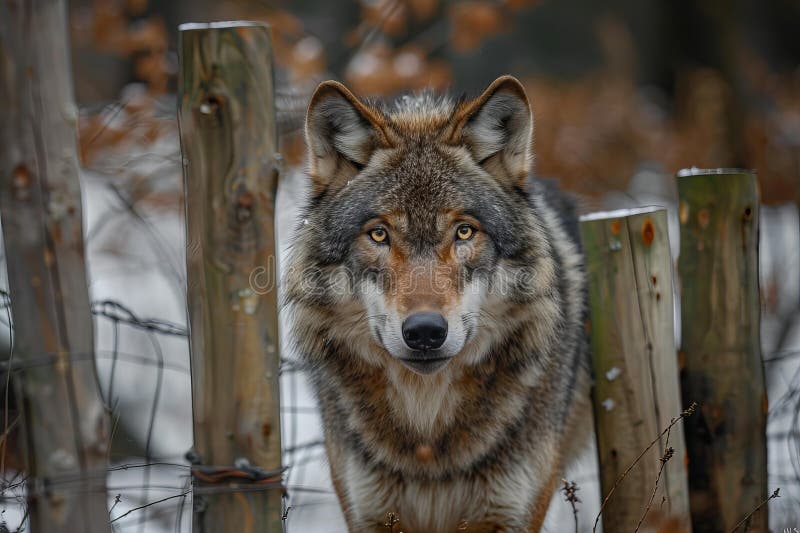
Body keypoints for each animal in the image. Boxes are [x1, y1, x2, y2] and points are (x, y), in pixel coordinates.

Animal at [284, 75, 591, 532]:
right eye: (378, 234)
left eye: (464, 231)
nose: (425, 331)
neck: (427, 432)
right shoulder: (370, 515)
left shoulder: (509, 514)